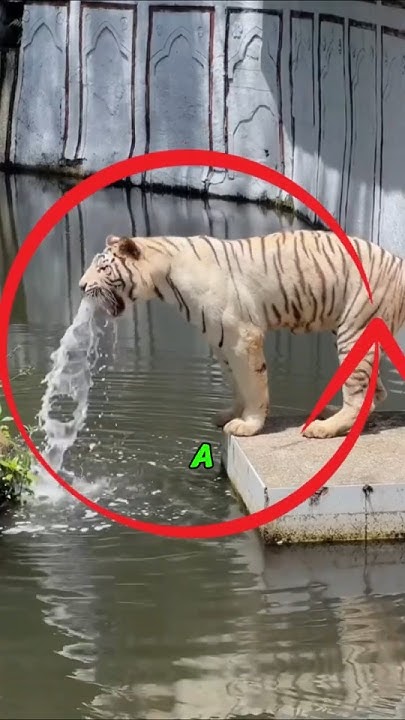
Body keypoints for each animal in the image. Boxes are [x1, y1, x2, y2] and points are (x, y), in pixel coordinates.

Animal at [78, 230, 405, 440]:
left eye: (103, 268)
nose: (81, 286)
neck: (165, 278)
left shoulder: (242, 336)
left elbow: (253, 384)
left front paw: (249, 425)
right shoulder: (219, 340)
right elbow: (235, 382)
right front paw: (230, 414)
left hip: (355, 328)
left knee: (359, 393)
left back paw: (324, 428)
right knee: (376, 391)